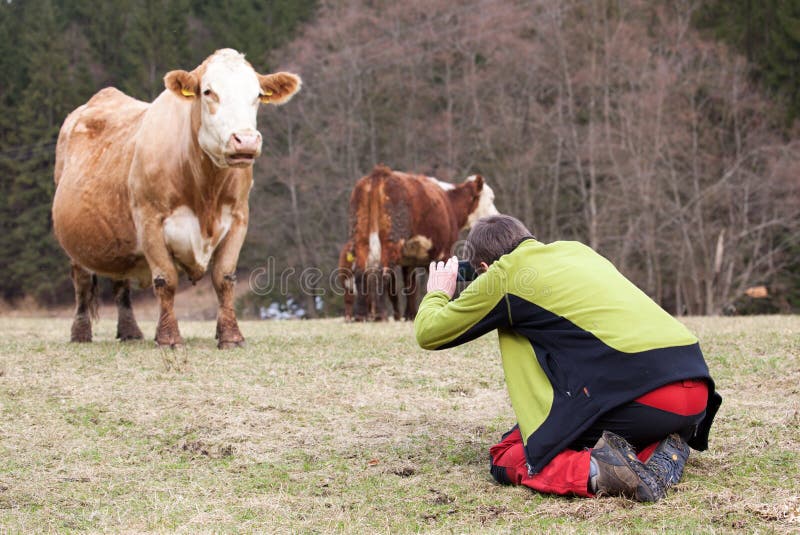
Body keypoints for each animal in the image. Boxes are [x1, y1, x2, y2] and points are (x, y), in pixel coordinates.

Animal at [52, 49, 301, 348]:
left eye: (257, 95)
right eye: (208, 91)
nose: (246, 140)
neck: (205, 191)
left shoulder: (239, 218)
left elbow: (224, 278)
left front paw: (230, 336)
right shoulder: (150, 219)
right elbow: (165, 280)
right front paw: (169, 338)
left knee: (121, 283)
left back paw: (130, 331)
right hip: (75, 241)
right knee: (82, 283)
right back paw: (80, 333)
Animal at [348, 164, 499, 321]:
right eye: (491, 198)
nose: (497, 214)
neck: (450, 203)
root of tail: (380, 173)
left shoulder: (409, 259)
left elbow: (410, 285)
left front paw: (410, 315)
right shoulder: (443, 252)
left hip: (359, 235)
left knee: (360, 271)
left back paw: (360, 314)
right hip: (392, 238)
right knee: (384, 271)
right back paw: (380, 314)